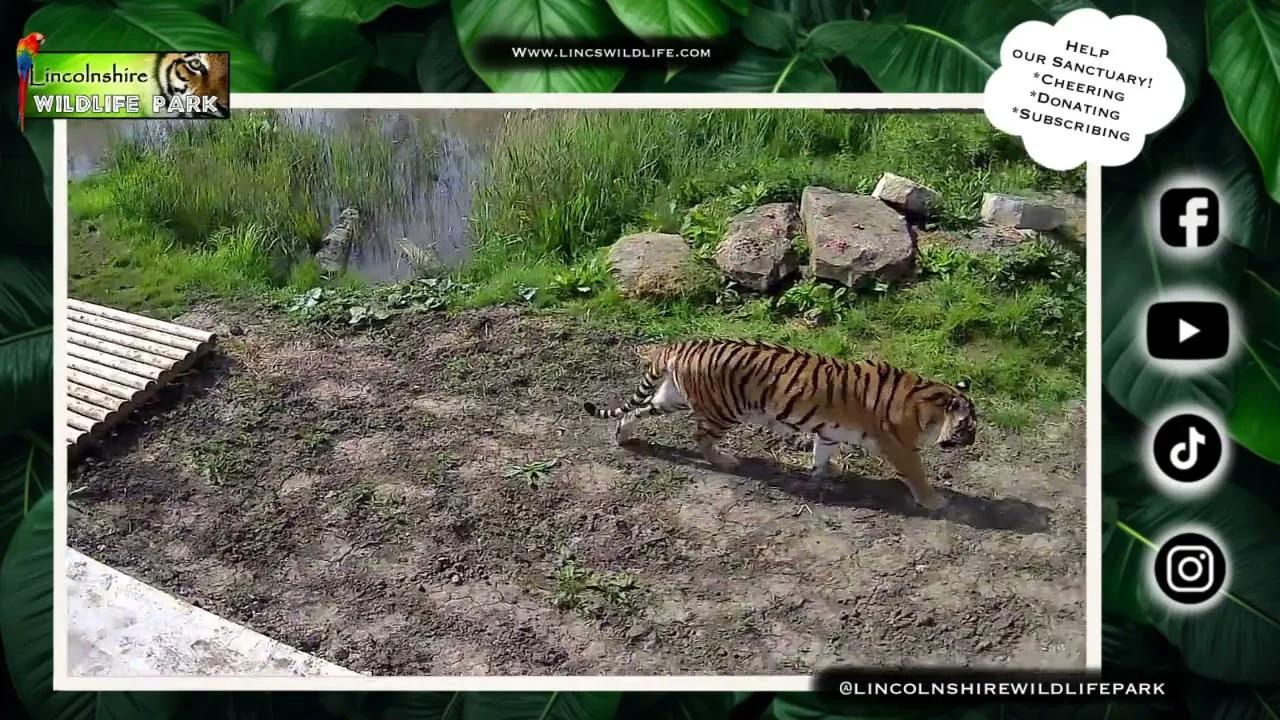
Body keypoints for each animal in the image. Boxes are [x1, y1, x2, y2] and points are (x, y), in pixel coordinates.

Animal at [583, 340, 977, 511]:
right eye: (967, 427)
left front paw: (821, 477)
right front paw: (935, 501)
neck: (931, 403)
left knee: (635, 411)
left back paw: (622, 436)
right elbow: (918, 475)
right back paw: (724, 461)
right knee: (701, 437)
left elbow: (822, 455)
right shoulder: (901, 448)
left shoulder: (828, 432)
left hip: (671, 398)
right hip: (723, 410)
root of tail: (678, 346)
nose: (973, 442)